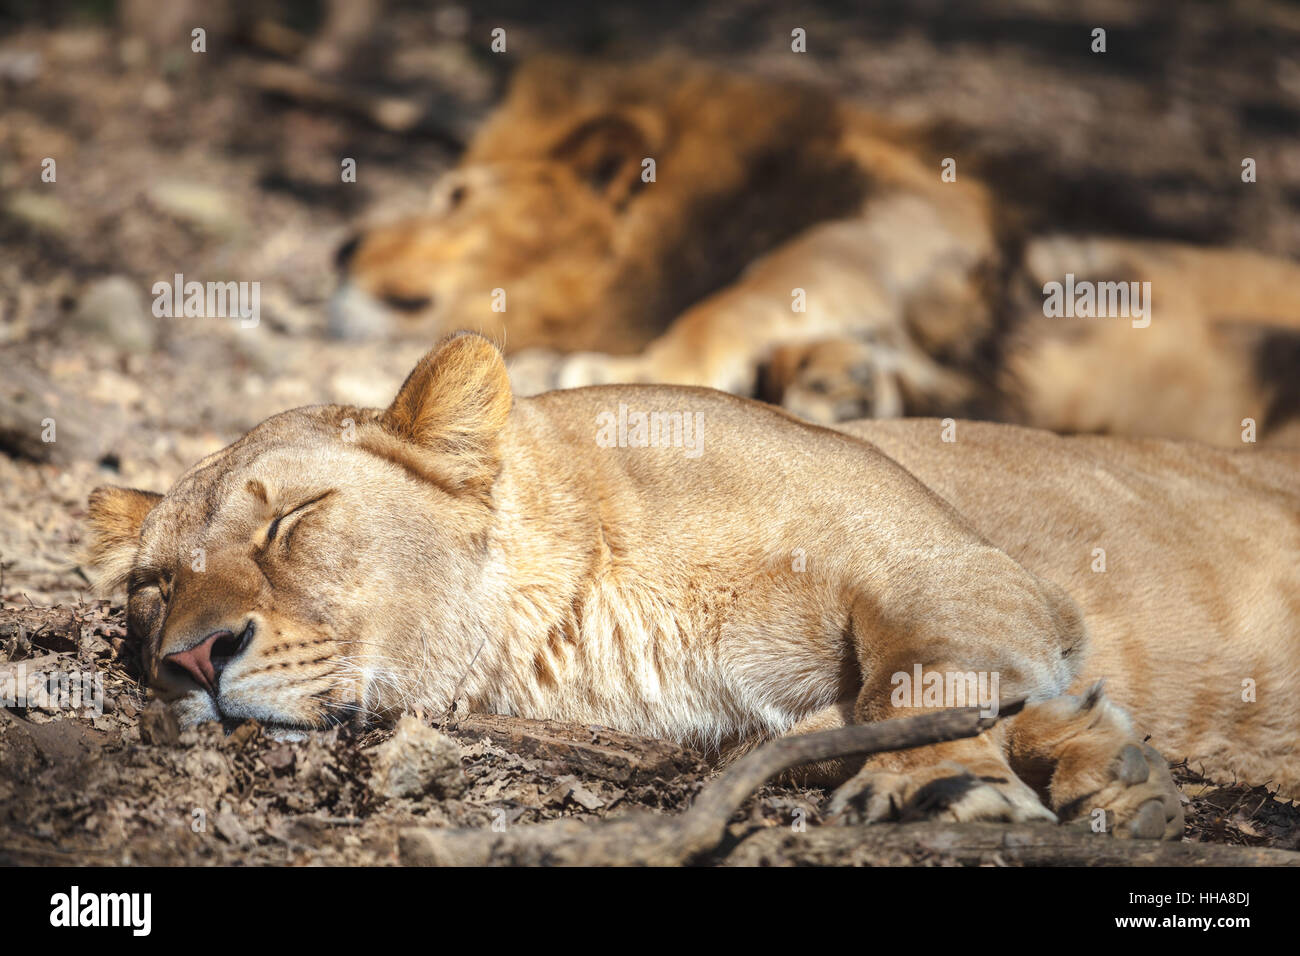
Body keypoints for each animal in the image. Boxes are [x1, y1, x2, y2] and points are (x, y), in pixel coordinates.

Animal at [84, 334, 1300, 837]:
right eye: (154, 586)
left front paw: (941, 786)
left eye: (290, 518)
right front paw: (1106, 765)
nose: (190, 657)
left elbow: (913, 677)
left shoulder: (963, 567)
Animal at [330, 56, 1300, 447]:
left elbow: (757, 283)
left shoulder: (916, 212)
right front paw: (838, 381)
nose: (340, 246)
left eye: (455, 195)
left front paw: (635, 365)